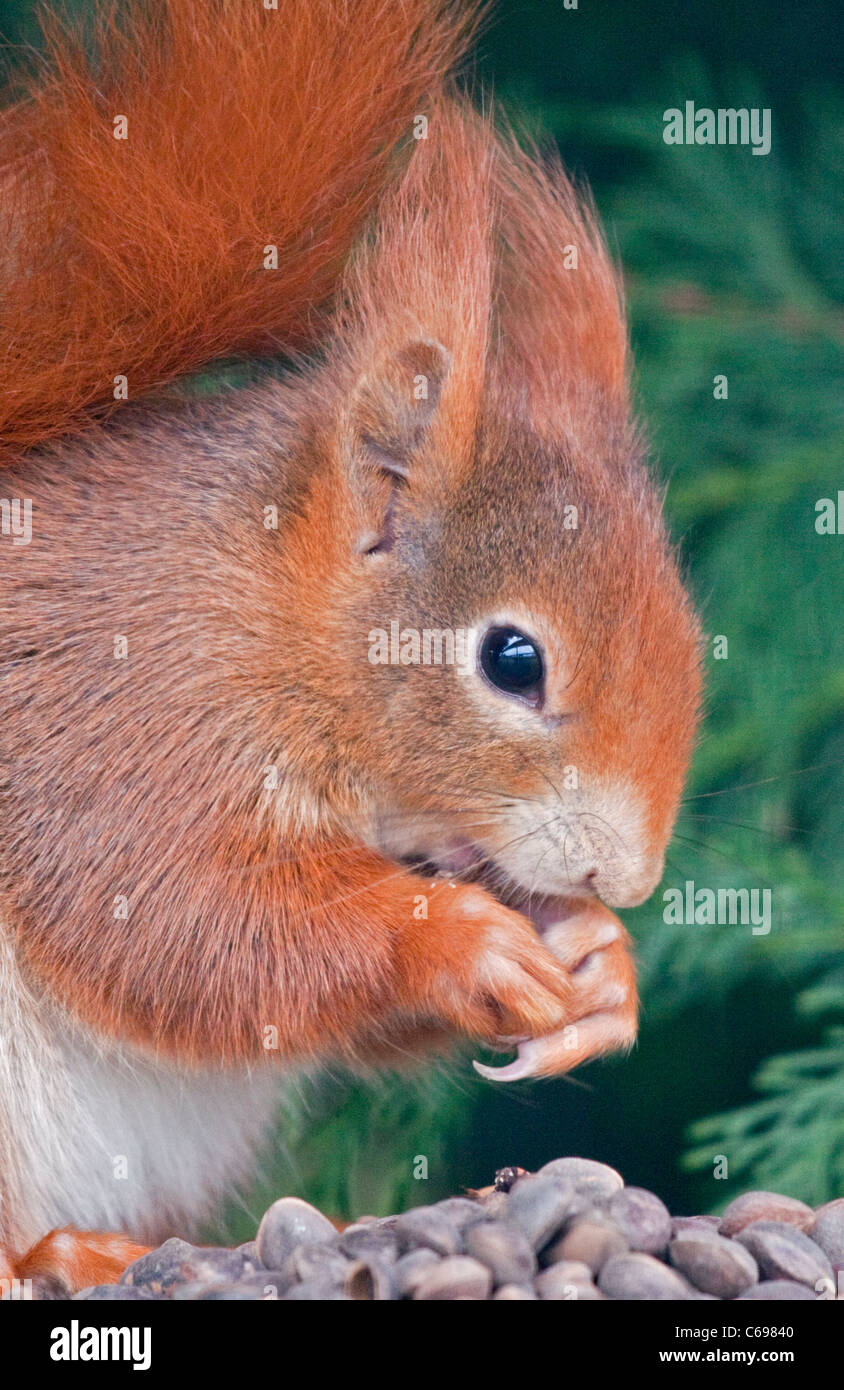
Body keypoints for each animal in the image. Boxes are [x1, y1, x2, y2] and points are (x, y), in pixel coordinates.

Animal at [0, 0, 701, 1293]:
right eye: (513, 661)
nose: (624, 878)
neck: (279, 626)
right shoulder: (114, 724)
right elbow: (178, 919)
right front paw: (453, 938)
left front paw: (600, 968)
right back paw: (64, 1252)